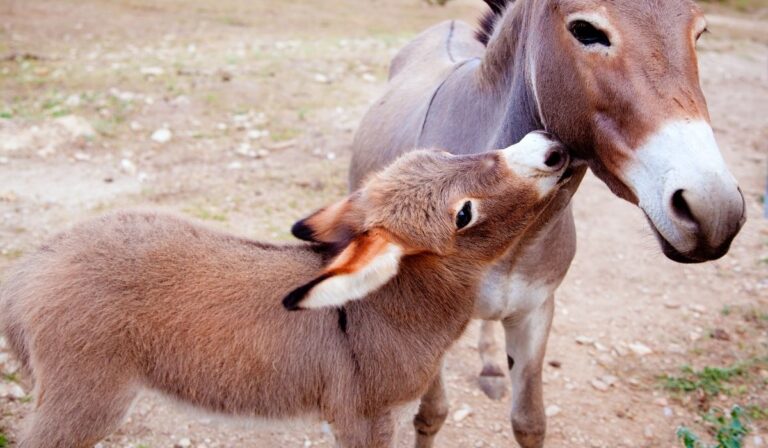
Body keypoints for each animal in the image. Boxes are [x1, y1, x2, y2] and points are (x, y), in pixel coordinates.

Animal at [347, 0, 746, 447]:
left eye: (700, 34)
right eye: (586, 30)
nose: (715, 209)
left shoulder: (536, 309)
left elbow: (530, 421)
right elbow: (431, 412)